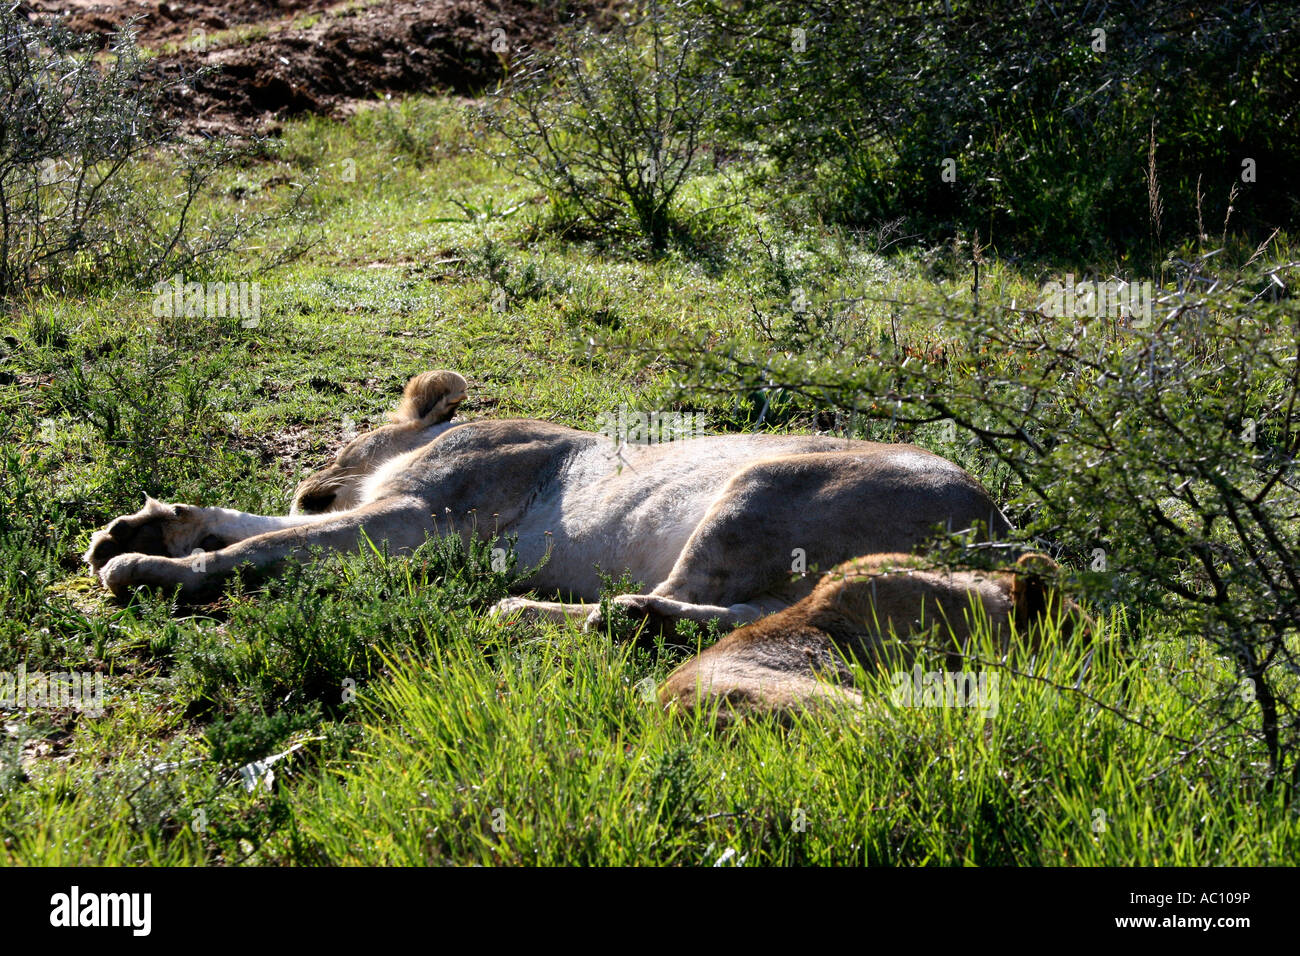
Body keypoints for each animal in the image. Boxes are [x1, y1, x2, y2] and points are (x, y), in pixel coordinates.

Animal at [85, 370, 1012, 632]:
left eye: (342, 440)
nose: (306, 479)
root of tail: (999, 522)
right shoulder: (383, 514)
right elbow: (252, 524)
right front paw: (138, 528)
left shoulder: (416, 518)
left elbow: (261, 545)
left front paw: (147, 568)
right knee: (749, 613)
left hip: (760, 486)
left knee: (668, 603)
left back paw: (533, 611)